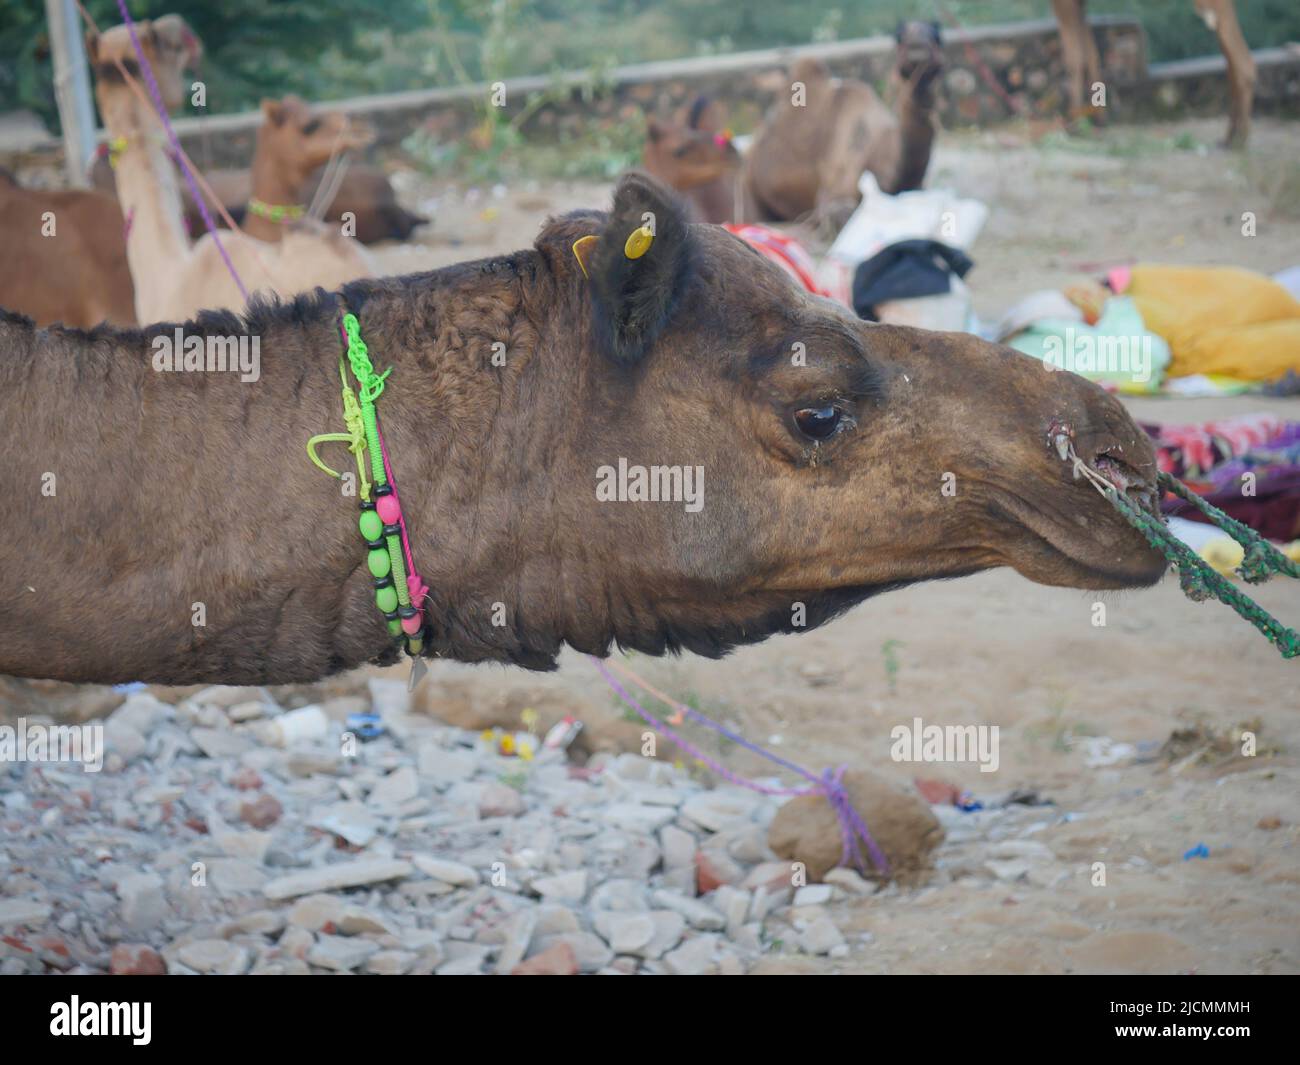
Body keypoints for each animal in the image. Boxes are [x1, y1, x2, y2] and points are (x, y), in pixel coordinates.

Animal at [743, 21, 944, 226]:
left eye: (937, 37)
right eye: (899, 37)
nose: (918, 48)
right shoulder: (840, 177)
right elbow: (836, 208)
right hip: (748, 187)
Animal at [1053, 0, 1255, 146]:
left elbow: (1074, 59)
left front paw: (1075, 124)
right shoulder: (1080, 4)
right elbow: (1090, 55)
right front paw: (1096, 121)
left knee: (1243, 61)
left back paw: (1239, 139)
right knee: (1231, 61)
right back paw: (1230, 136)